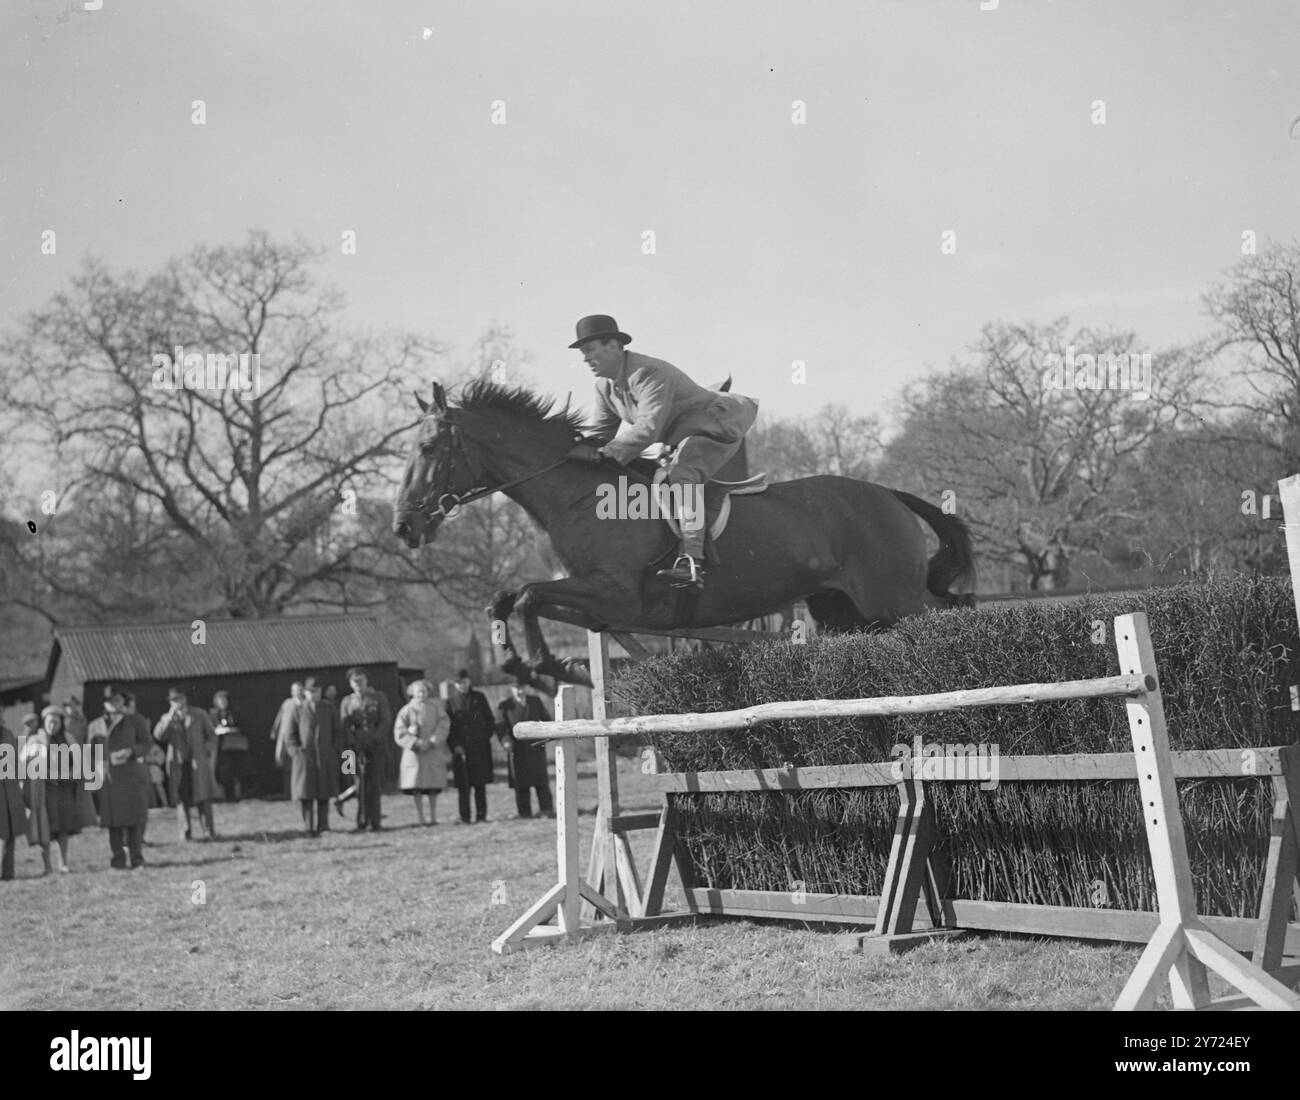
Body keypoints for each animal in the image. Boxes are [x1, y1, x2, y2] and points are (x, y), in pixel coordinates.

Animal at [392, 379, 976, 686]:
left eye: (427, 448)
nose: (403, 525)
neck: (577, 495)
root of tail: (888, 493)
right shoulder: (600, 605)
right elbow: (508, 598)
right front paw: (527, 662)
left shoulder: (619, 594)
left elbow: (530, 595)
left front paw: (543, 663)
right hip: (842, 610)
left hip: (893, 599)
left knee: (945, 613)